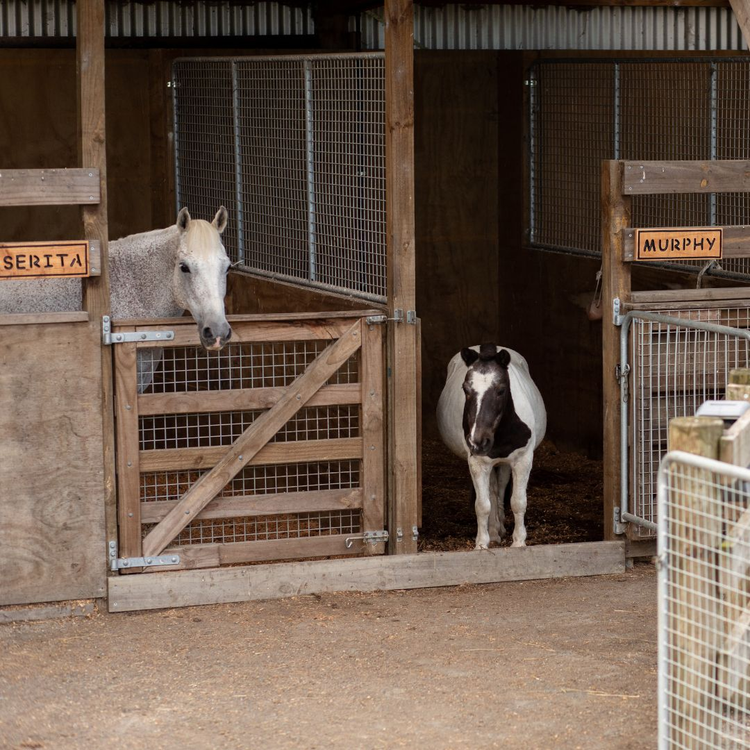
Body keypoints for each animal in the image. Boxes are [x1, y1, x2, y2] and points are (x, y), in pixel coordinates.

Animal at [436, 343, 546, 550]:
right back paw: (494, 531)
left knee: (500, 487)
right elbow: (483, 505)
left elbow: (518, 501)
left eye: (501, 390)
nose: (478, 441)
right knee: (493, 490)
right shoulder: (479, 463)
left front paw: (519, 541)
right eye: (466, 388)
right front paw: (482, 543)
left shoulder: (523, 459)